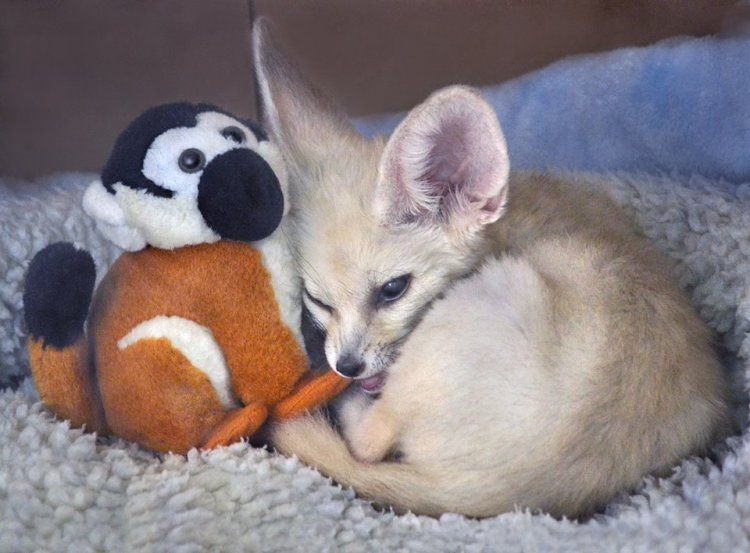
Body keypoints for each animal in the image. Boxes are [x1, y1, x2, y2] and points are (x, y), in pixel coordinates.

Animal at [253, 19, 732, 518]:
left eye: (394, 289)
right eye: (317, 301)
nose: (346, 366)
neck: (511, 219)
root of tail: (512, 494)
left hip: (462, 316)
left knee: (366, 444)